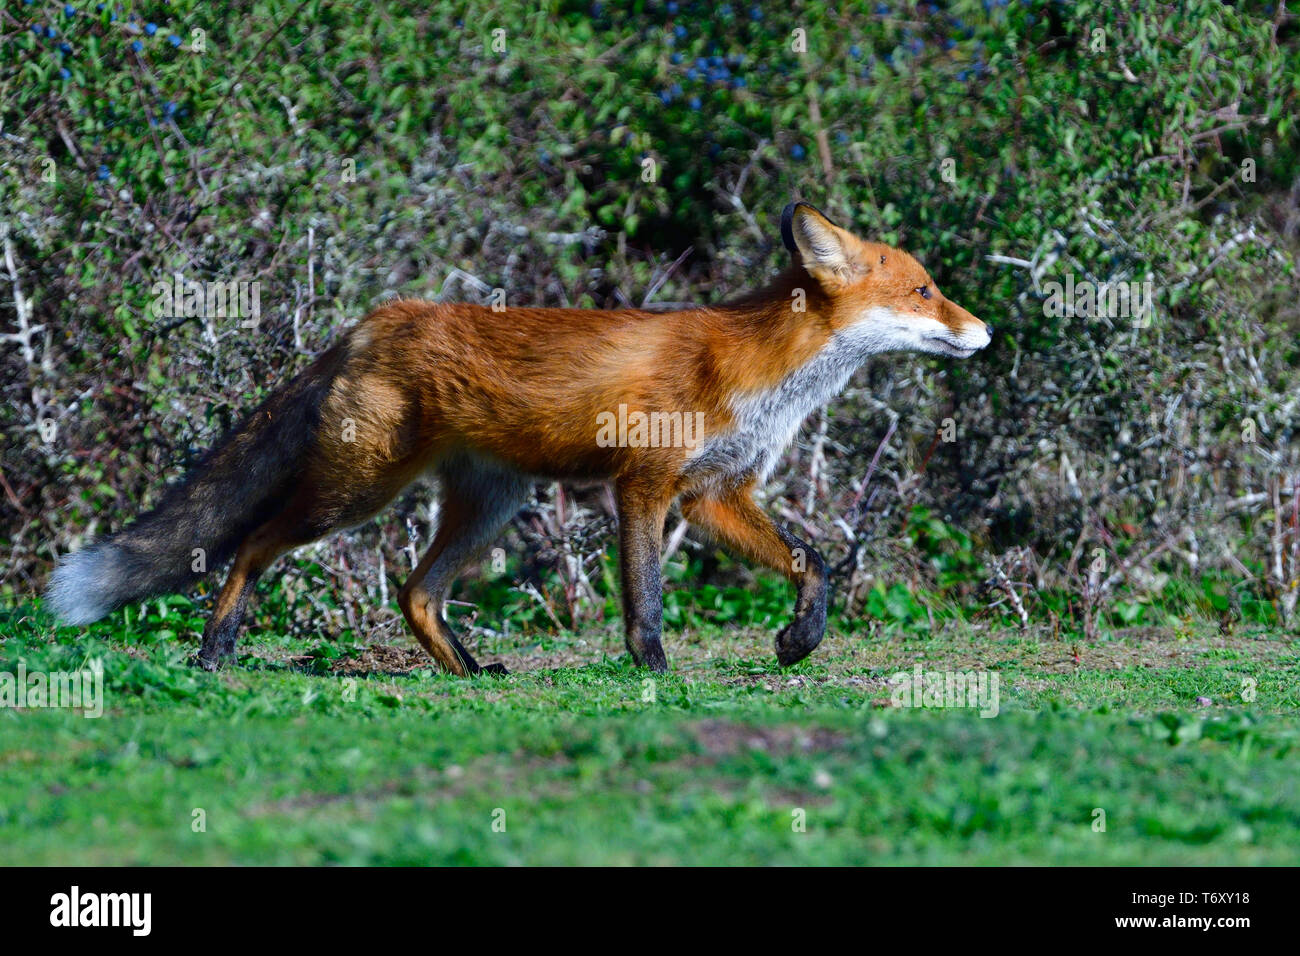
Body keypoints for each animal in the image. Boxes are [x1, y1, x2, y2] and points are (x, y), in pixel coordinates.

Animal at [46, 201, 991, 676]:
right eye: (924, 290)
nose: (984, 330)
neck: (765, 377)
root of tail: (373, 320)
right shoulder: (644, 485)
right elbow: (645, 597)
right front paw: (652, 667)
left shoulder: (715, 494)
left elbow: (813, 562)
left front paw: (799, 641)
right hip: (355, 491)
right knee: (250, 545)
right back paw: (217, 649)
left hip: (491, 504)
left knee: (415, 591)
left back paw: (467, 670)